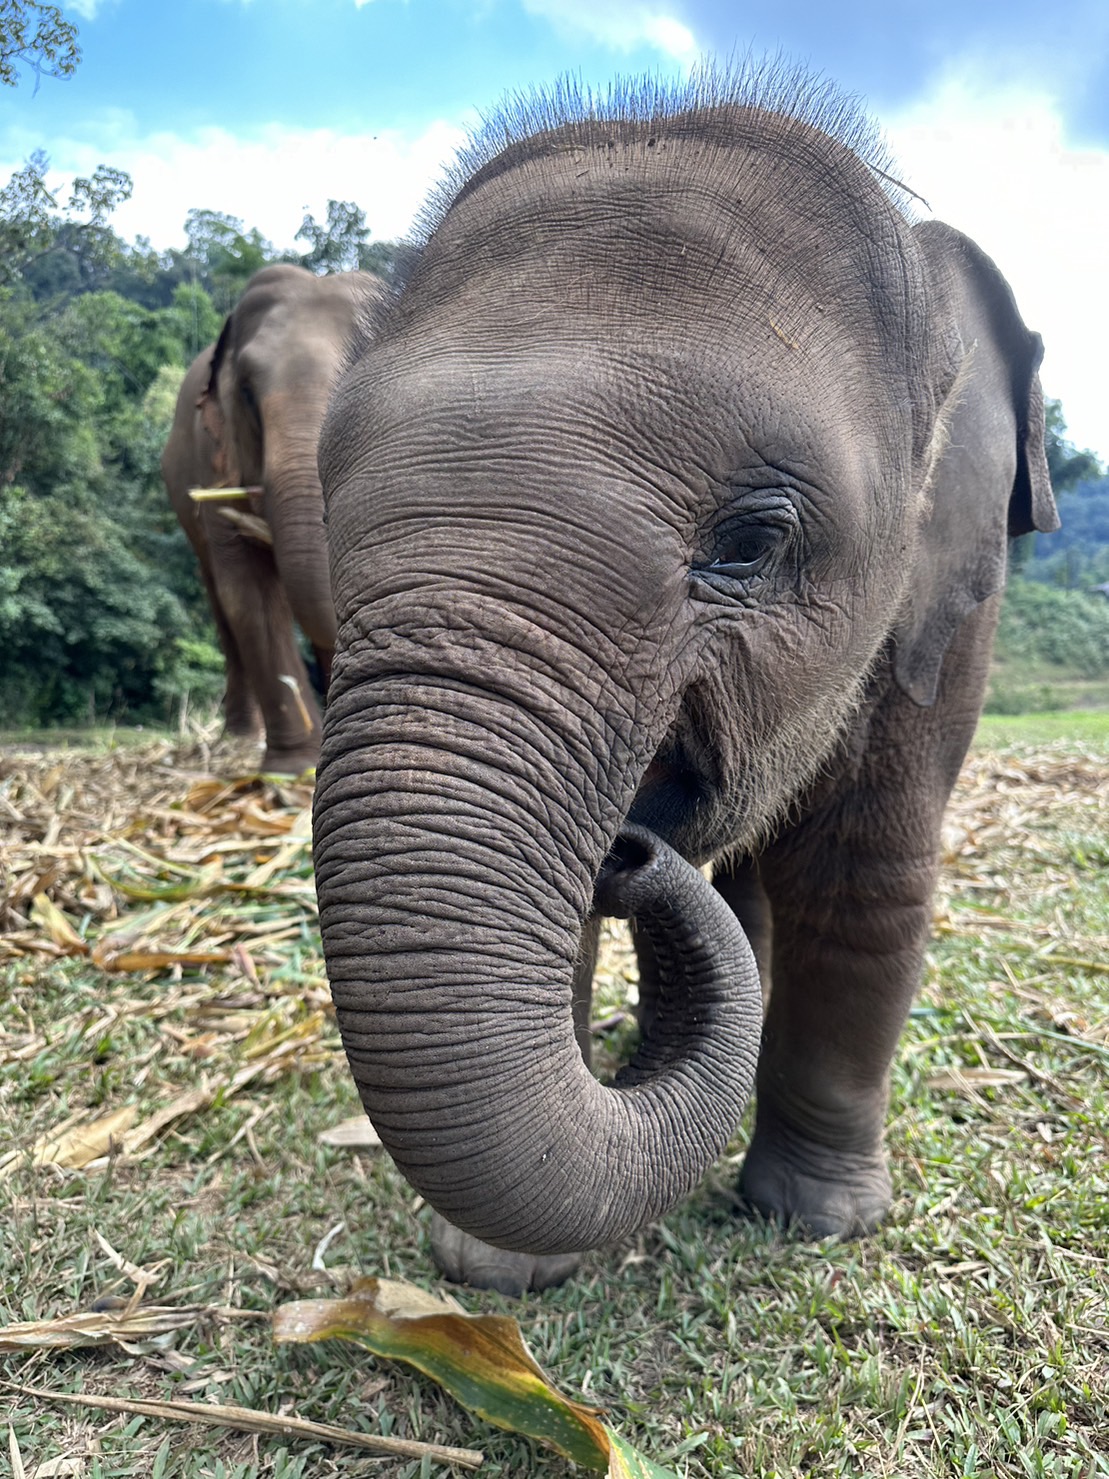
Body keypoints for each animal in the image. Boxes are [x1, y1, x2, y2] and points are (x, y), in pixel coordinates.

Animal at [162, 263, 383, 774]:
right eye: (246, 391)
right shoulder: (214, 461)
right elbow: (250, 595)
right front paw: (292, 768)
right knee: (221, 603)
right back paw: (241, 737)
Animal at [311, 67, 1059, 1295]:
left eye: (750, 542)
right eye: (328, 515)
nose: (629, 845)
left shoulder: (947, 608)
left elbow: (859, 868)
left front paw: (816, 1221)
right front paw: (499, 1274)